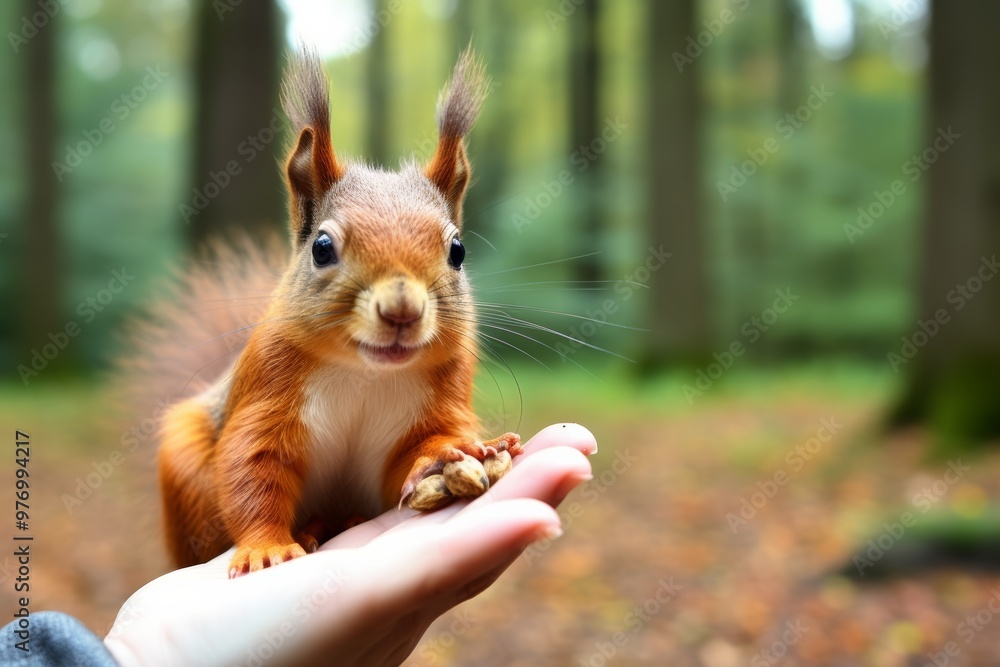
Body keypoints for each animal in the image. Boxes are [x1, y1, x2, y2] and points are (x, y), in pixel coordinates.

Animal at [142, 46, 522, 578]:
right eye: (322, 248)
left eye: (458, 250)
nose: (402, 310)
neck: (364, 372)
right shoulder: (267, 389)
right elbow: (250, 468)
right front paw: (267, 547)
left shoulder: (443, 394)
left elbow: (417, 454)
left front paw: (452, 454)